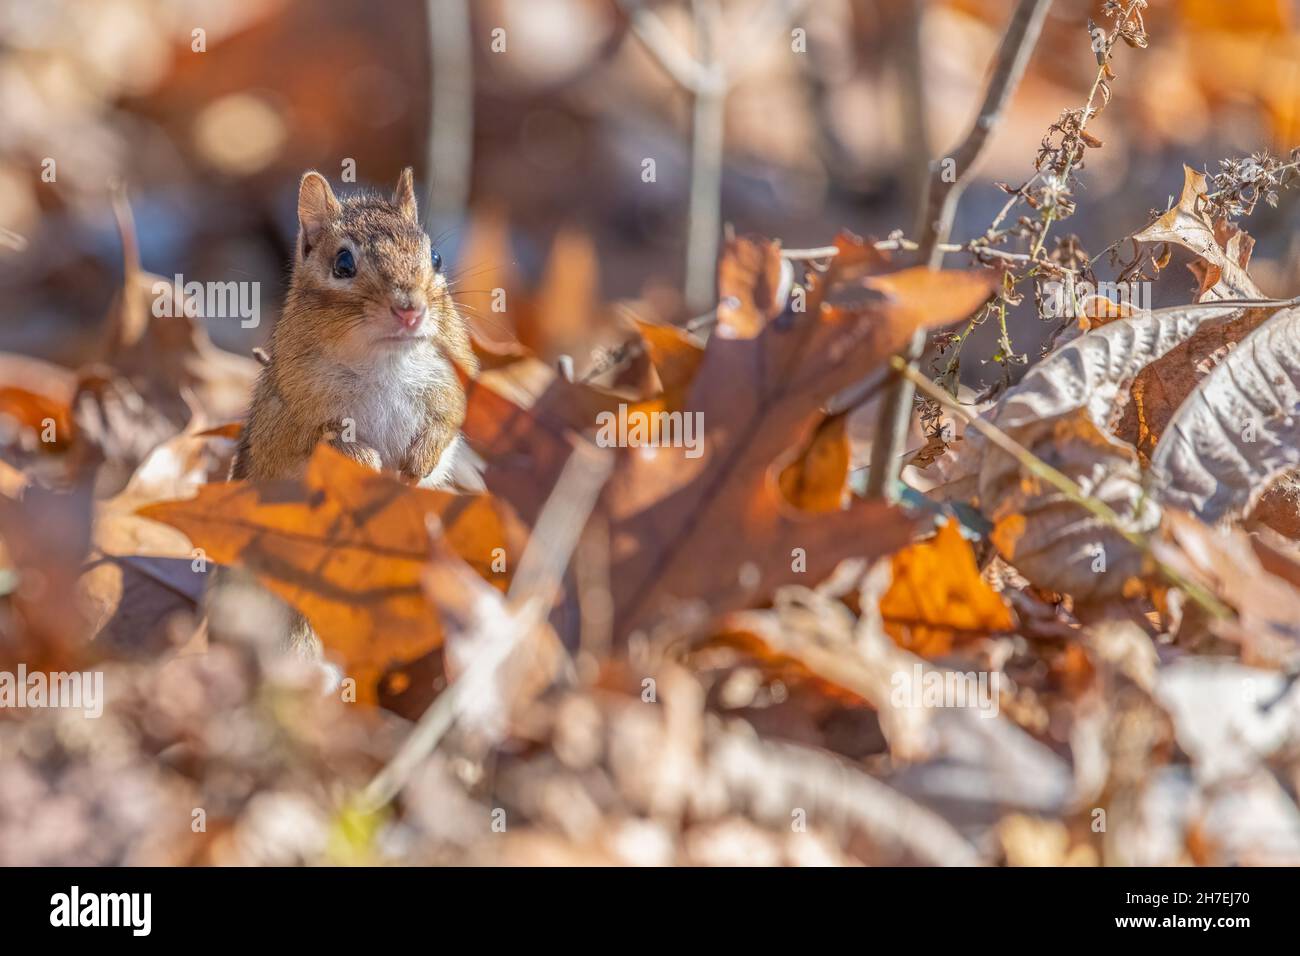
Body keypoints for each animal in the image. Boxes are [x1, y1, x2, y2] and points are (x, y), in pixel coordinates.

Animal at [221, 168, 478, 656]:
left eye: (435, 256)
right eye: (343, 264)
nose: (410, 310)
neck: (385, 361)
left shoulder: (453, 386)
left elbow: (447, 423)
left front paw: (417, 464)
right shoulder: (286, 421)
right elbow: (318, 443)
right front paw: (367, 461)